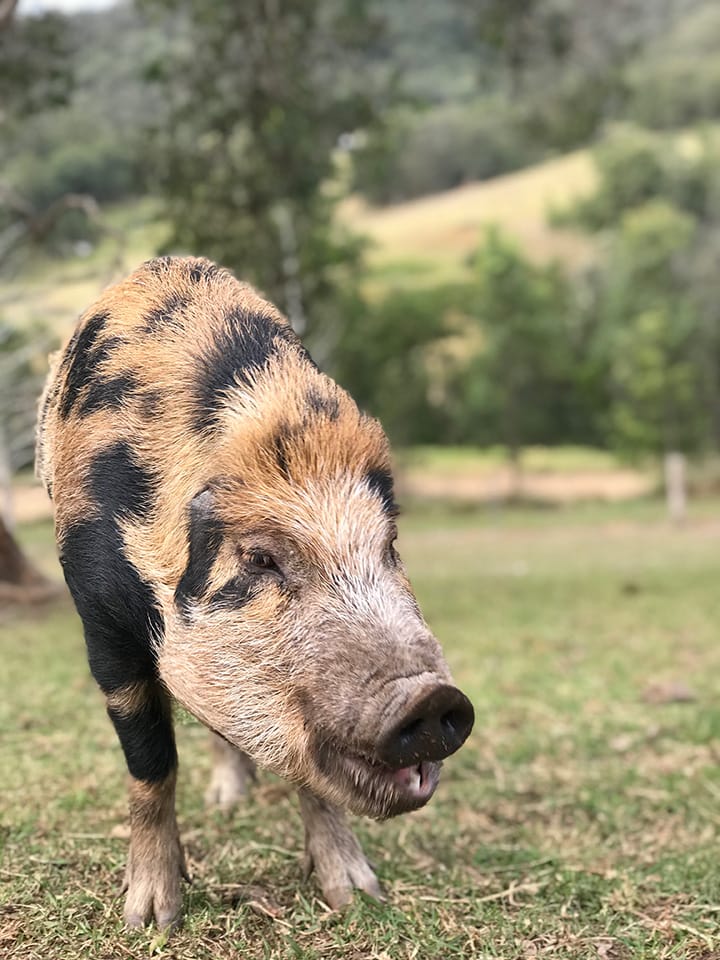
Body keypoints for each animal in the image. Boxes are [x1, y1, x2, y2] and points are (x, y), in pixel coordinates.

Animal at [36, 256, 474, 930]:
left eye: (389, 544)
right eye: (260, 559)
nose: (430, 696)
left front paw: (358, 898)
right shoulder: (101, 623)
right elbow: (150, 763)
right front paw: (151, 919)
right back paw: (221, 808)